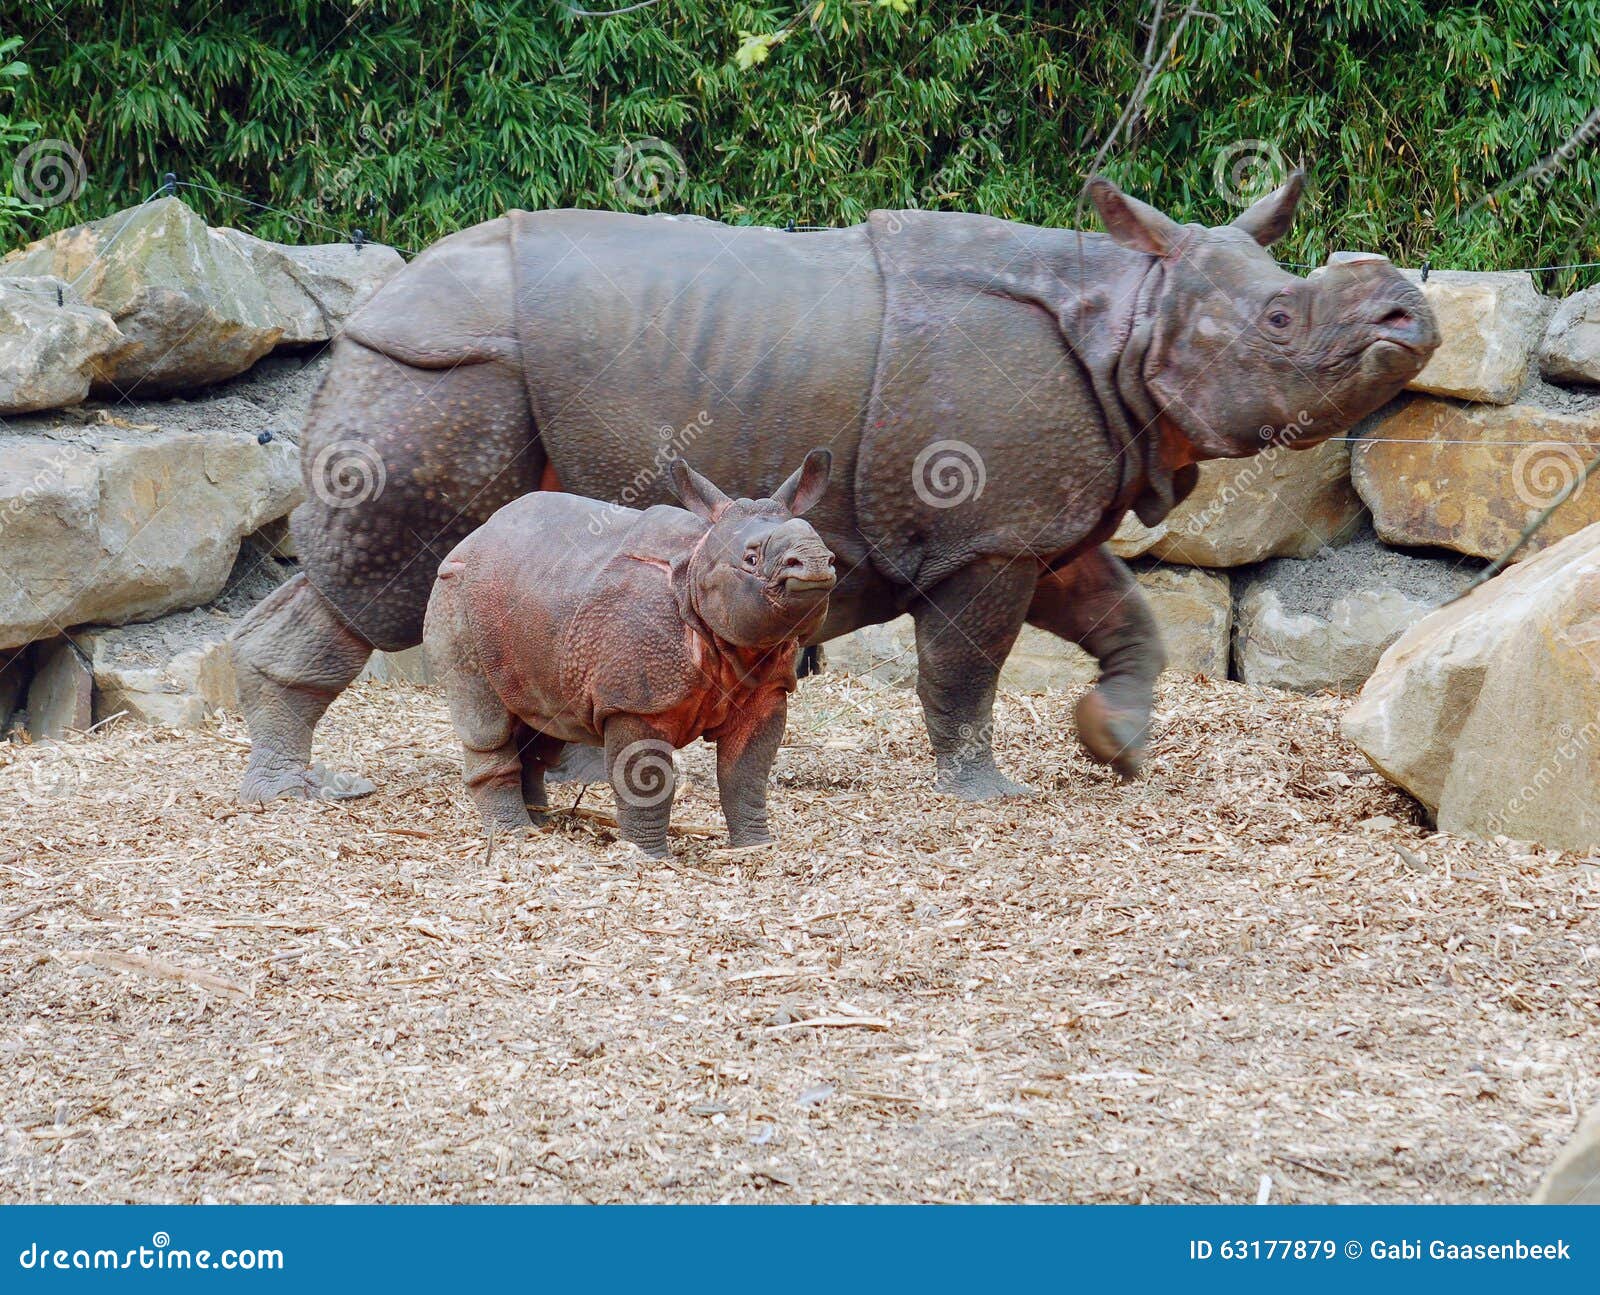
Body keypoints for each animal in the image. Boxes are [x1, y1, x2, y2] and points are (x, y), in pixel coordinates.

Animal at [231, 172, 1438, 803]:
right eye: (1281, 319)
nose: (1411, 313)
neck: (1131, 320)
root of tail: (366, 306)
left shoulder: (1031, 518)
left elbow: (1121, 614)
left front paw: (1117, 745)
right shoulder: (985, 531)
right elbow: (966, 664)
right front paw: (982, 795)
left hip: (463, 367)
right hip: (451, 370)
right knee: (385, 586)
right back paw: (303, 796)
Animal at [424, 452, 835, 856]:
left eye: (822, 544)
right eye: (750, 559)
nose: (816, 560)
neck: (696, 570)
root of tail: (471, 538)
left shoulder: (766, 691)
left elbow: (745, 774)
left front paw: (756, 847)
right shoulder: (635, 700)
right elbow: (646, 780)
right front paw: (646, 856)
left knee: (544, 721)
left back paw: (539, 825)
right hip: (455, 590)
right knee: (486, 719)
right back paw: (515, 835)